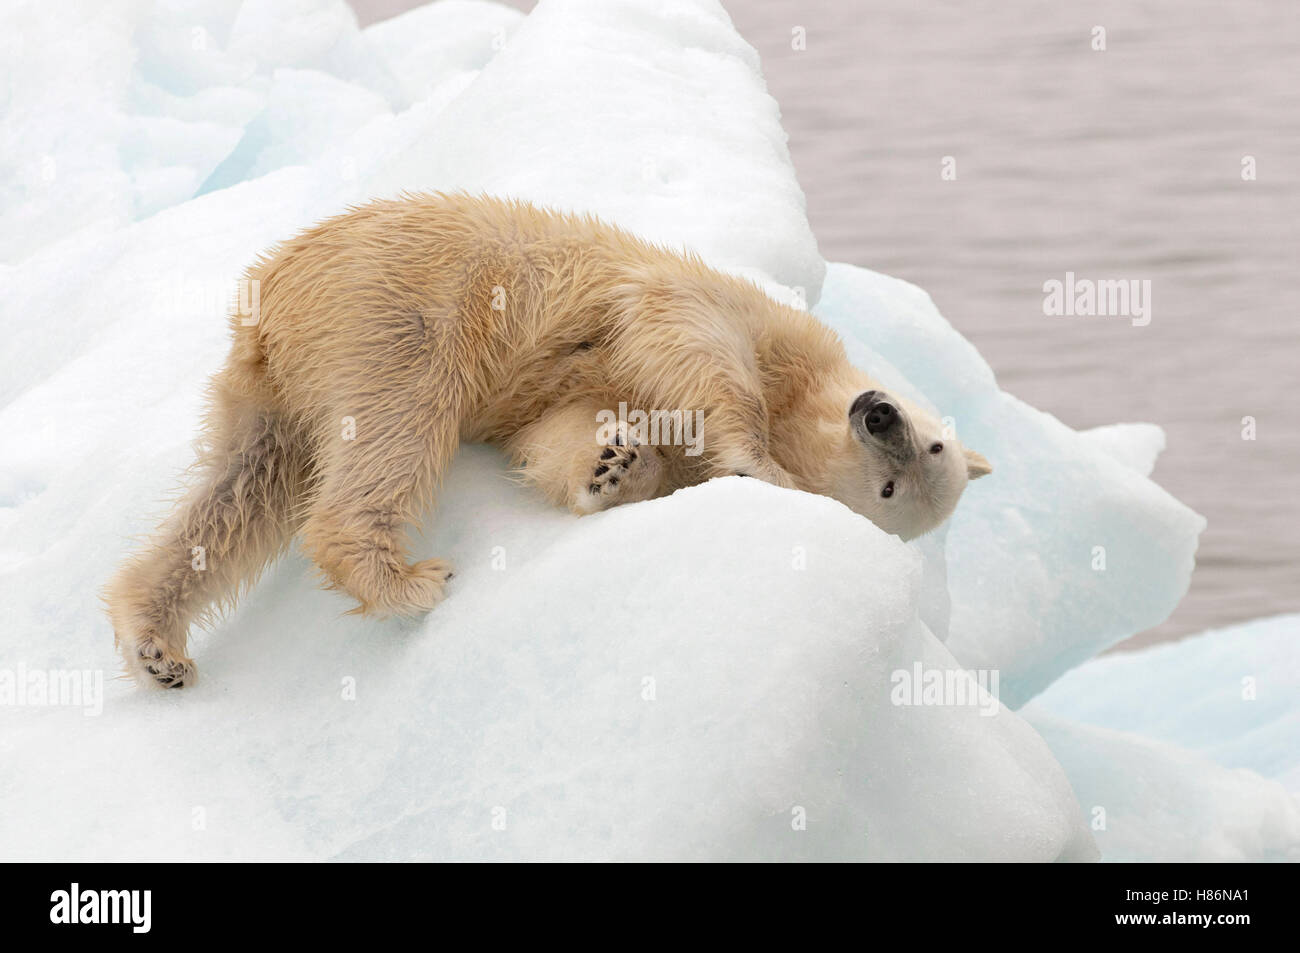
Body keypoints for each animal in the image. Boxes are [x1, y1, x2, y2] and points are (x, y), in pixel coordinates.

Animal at [104, 193, 990, 688]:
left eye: (899, 483)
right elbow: (683, 336)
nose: (881, 412)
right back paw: (414, 578)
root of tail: (275, 298)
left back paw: (157, 642)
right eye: (932, 446)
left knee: (243, 489)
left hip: (283, 380)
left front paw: (615, 463)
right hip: (394, 304)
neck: (800, 392)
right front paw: (752, 458)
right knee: (400, 418)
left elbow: (560, 432)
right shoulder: (744, 316)